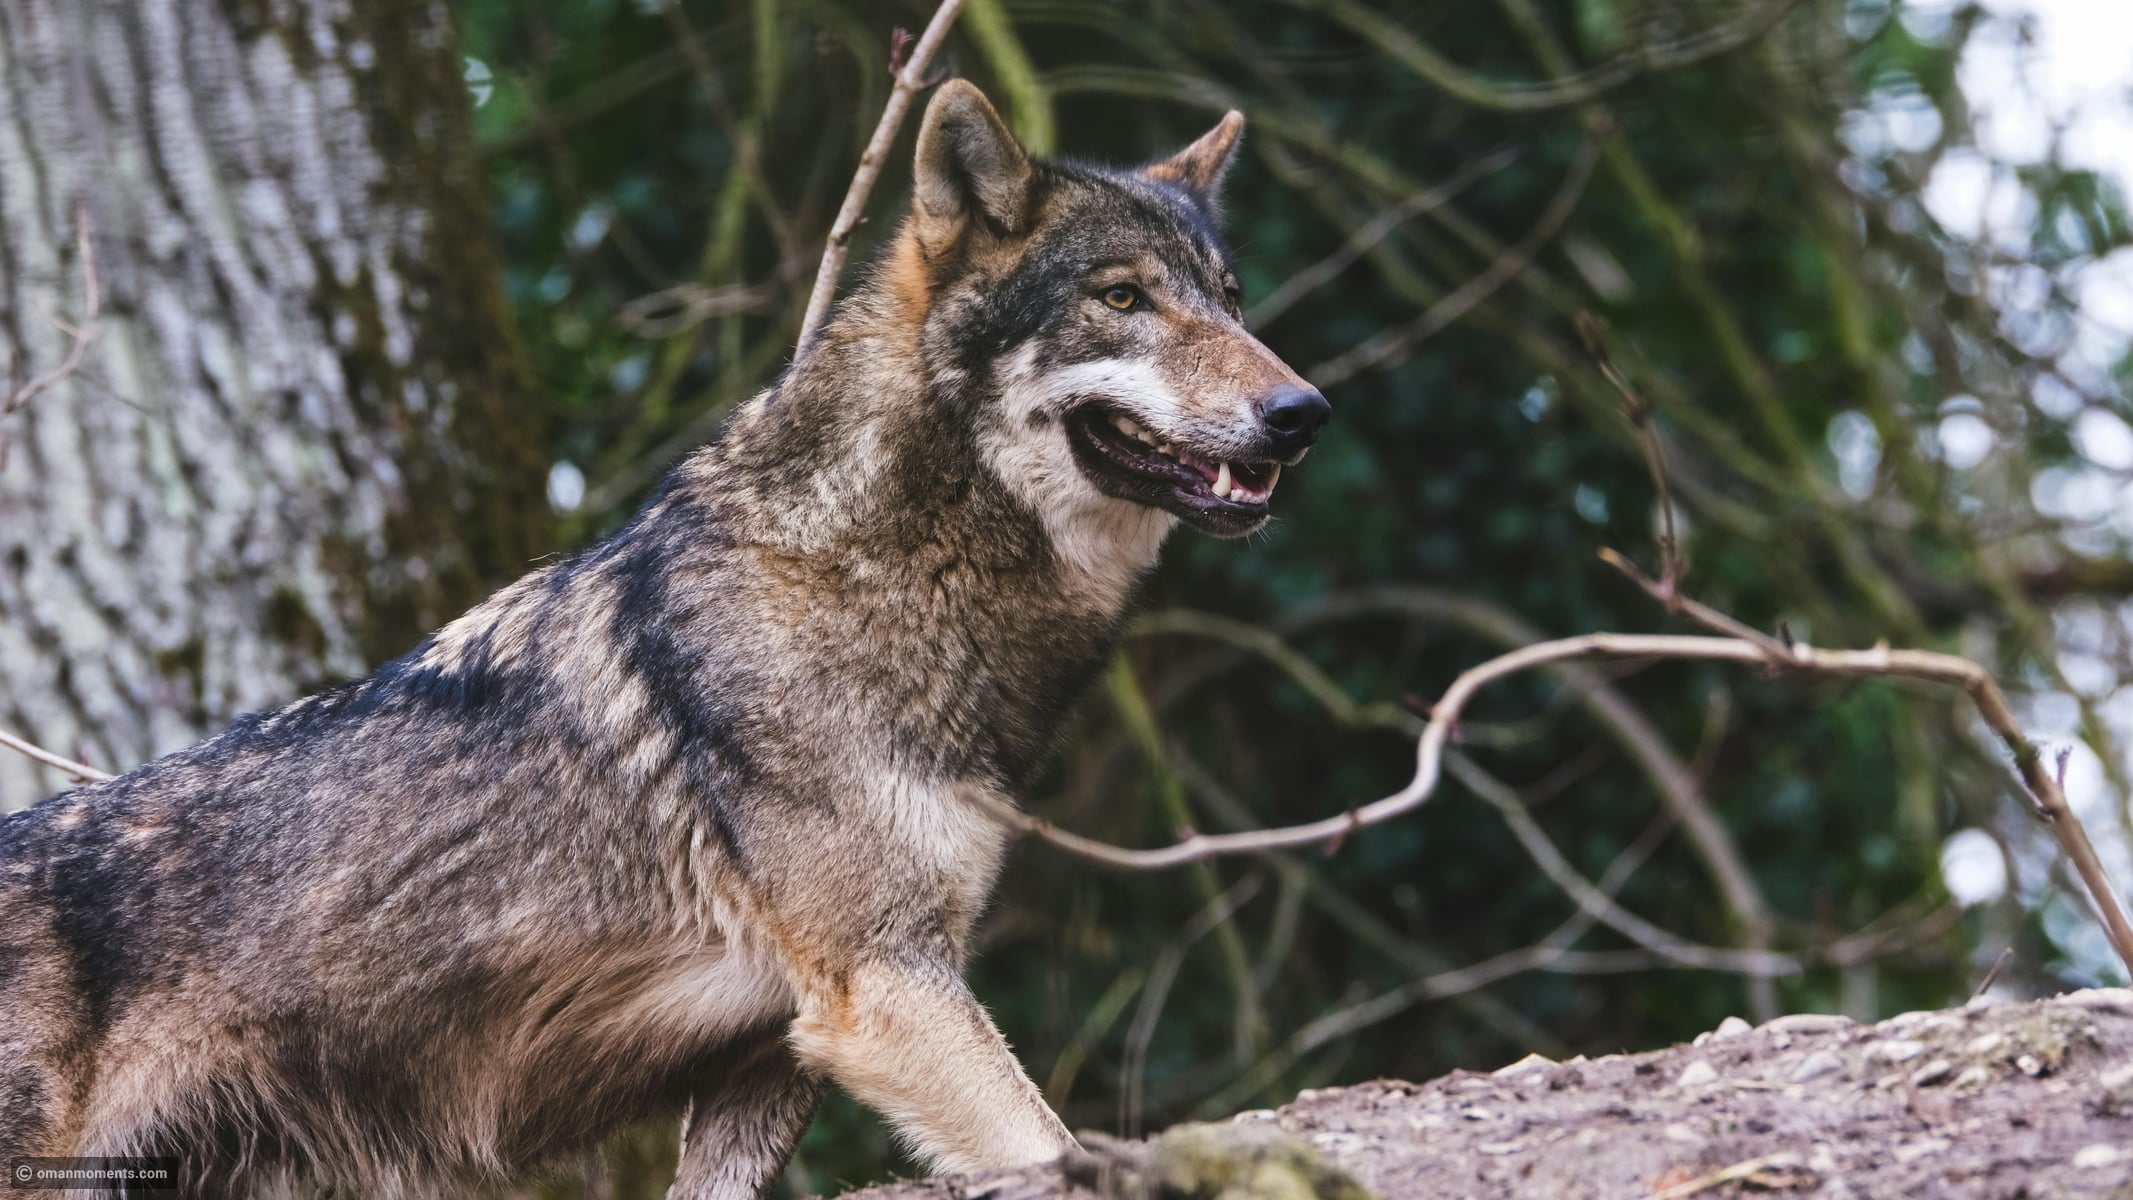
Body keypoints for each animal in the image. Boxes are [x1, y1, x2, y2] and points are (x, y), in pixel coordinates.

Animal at [0, 81, 1328, 1198]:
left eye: (1229, 297)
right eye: (1122, 297)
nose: (1301, 412)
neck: (884, 568)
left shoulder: (772, 1057)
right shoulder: (885, 991)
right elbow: (1051, 1145)